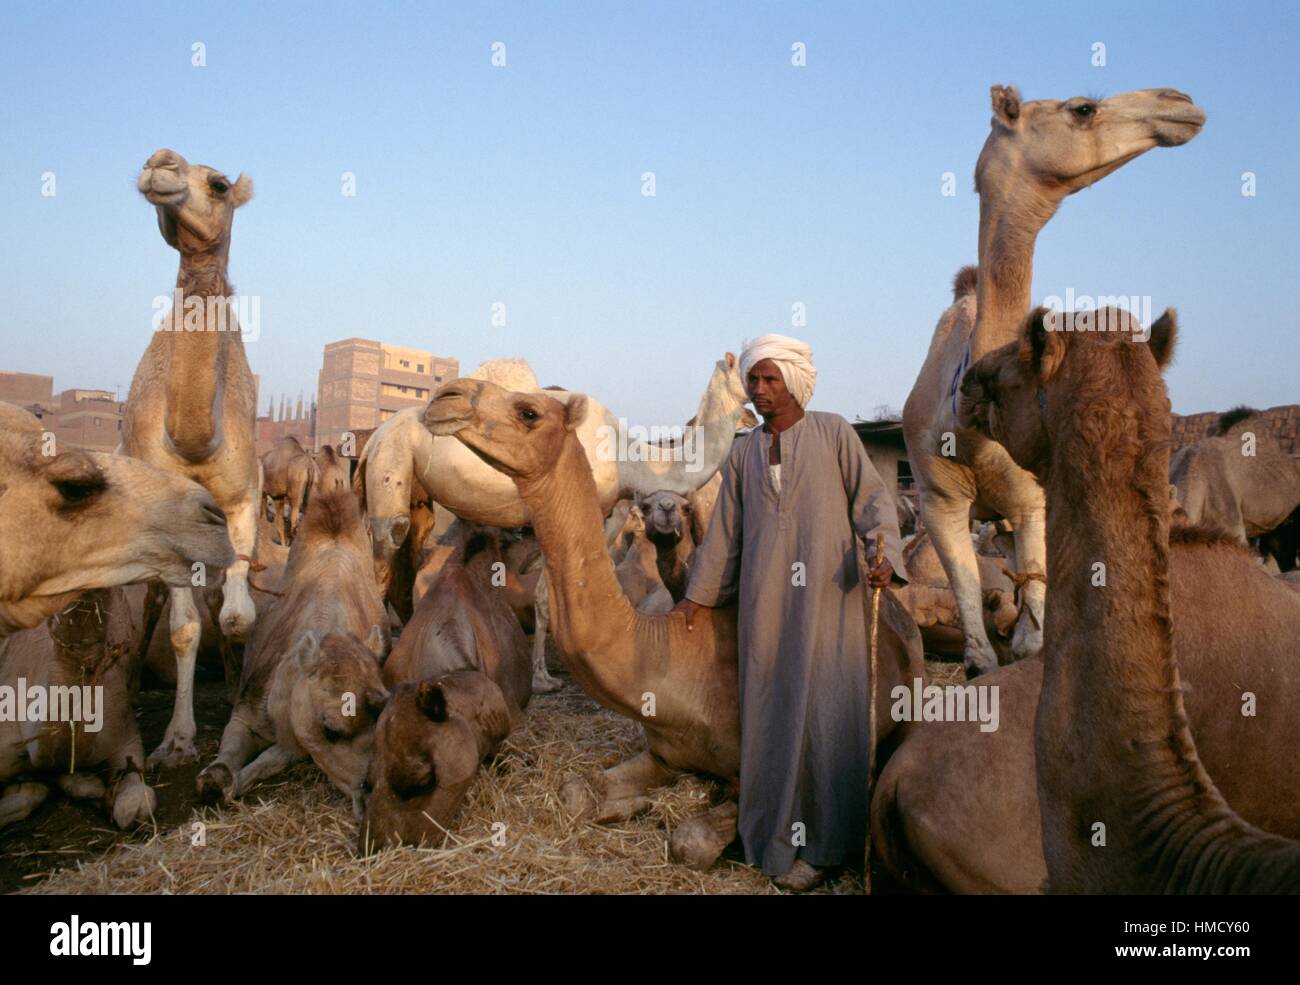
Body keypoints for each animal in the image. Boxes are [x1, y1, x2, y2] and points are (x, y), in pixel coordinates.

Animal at [195, 485, 389, 816]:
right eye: (331, 729)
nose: (370, 794)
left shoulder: (297, 740)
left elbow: (268, 761)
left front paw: (235, 784)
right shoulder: (249, 711)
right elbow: (231, 745)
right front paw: (213, 781)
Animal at [423, 378, 924, 870]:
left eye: (529, 411)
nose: (444, 396)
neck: (673, 661)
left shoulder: (750, 774)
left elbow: (692, 841)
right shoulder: (664, 752)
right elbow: (574, 793)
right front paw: (633, 805)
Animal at [901, 86, 1205, 674]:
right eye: (1083, 108)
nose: (1181, 102)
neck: (963, 419)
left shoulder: (1030, 501)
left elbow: (1031, 642)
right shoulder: (937, 499)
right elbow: (979, 641)